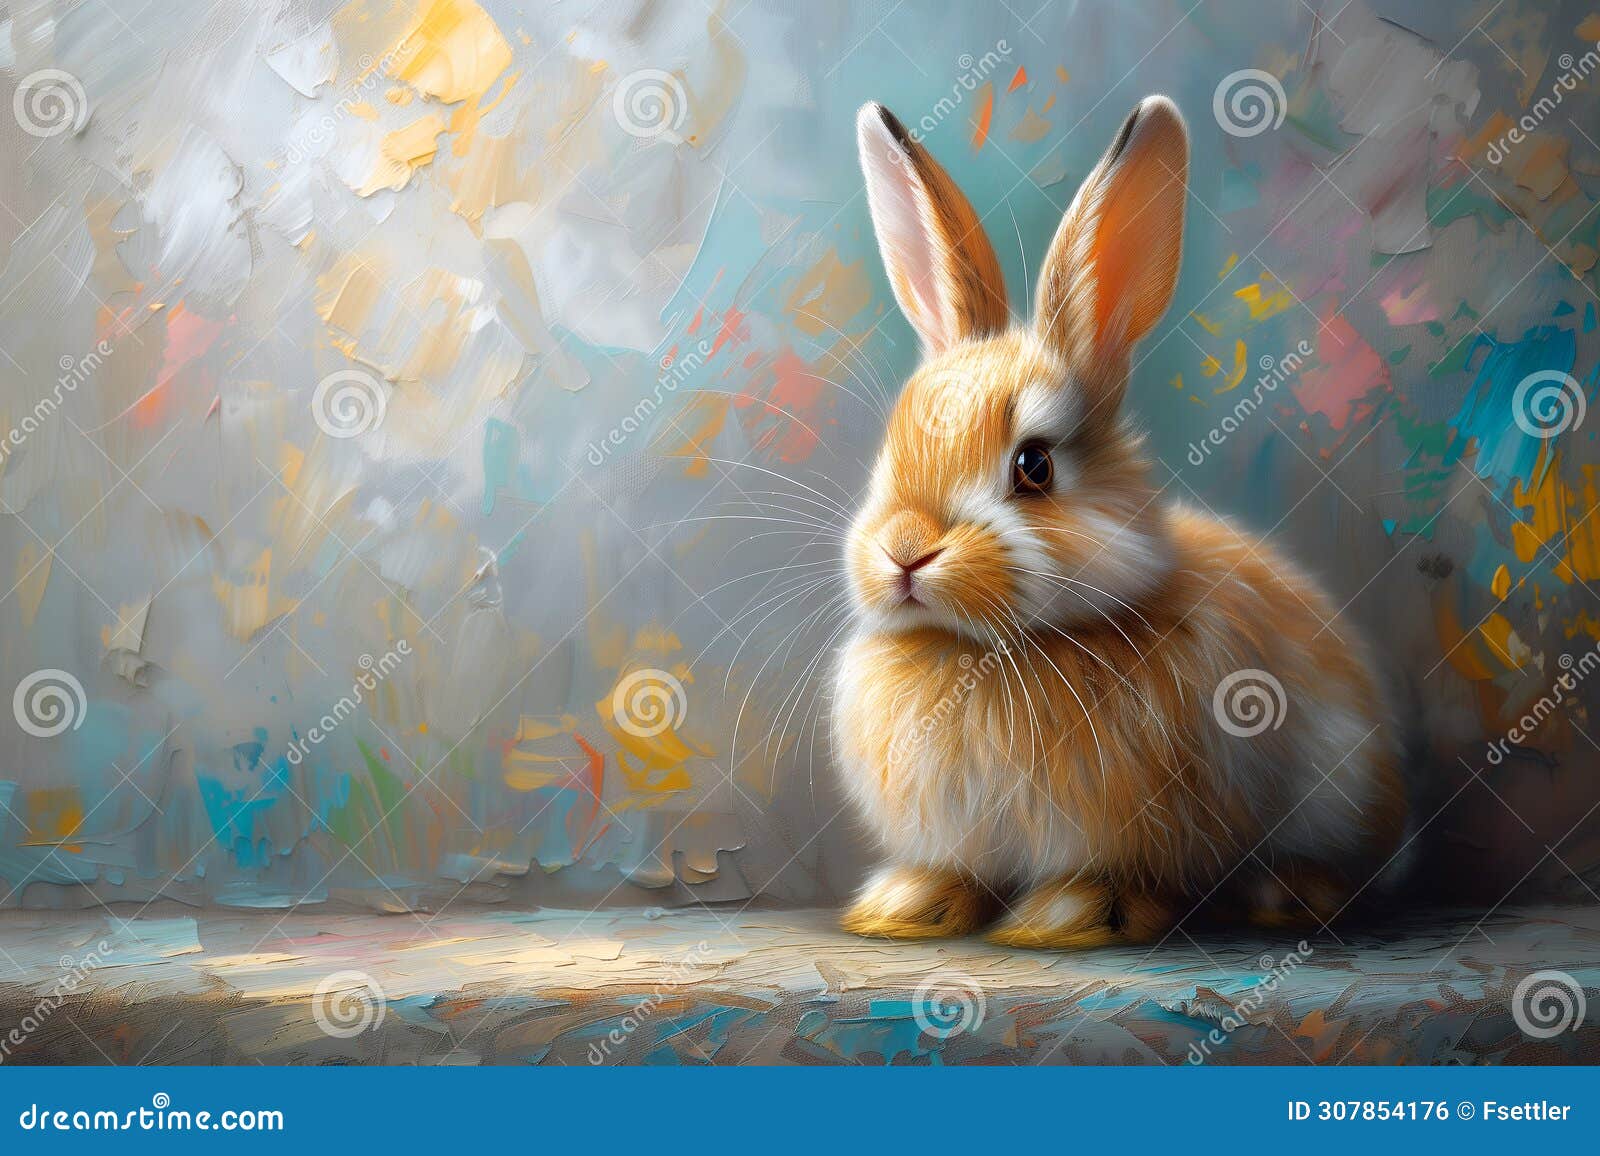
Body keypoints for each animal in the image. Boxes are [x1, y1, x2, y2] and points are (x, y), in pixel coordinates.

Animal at [832, 96, 1407, 949]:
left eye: (1034, 466)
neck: (982, 653)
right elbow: (957, 870)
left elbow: (1118, 875)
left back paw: (1286, 895)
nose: (906, 552)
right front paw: (909, 903)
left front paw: (1068, 915)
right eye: (889, 455)